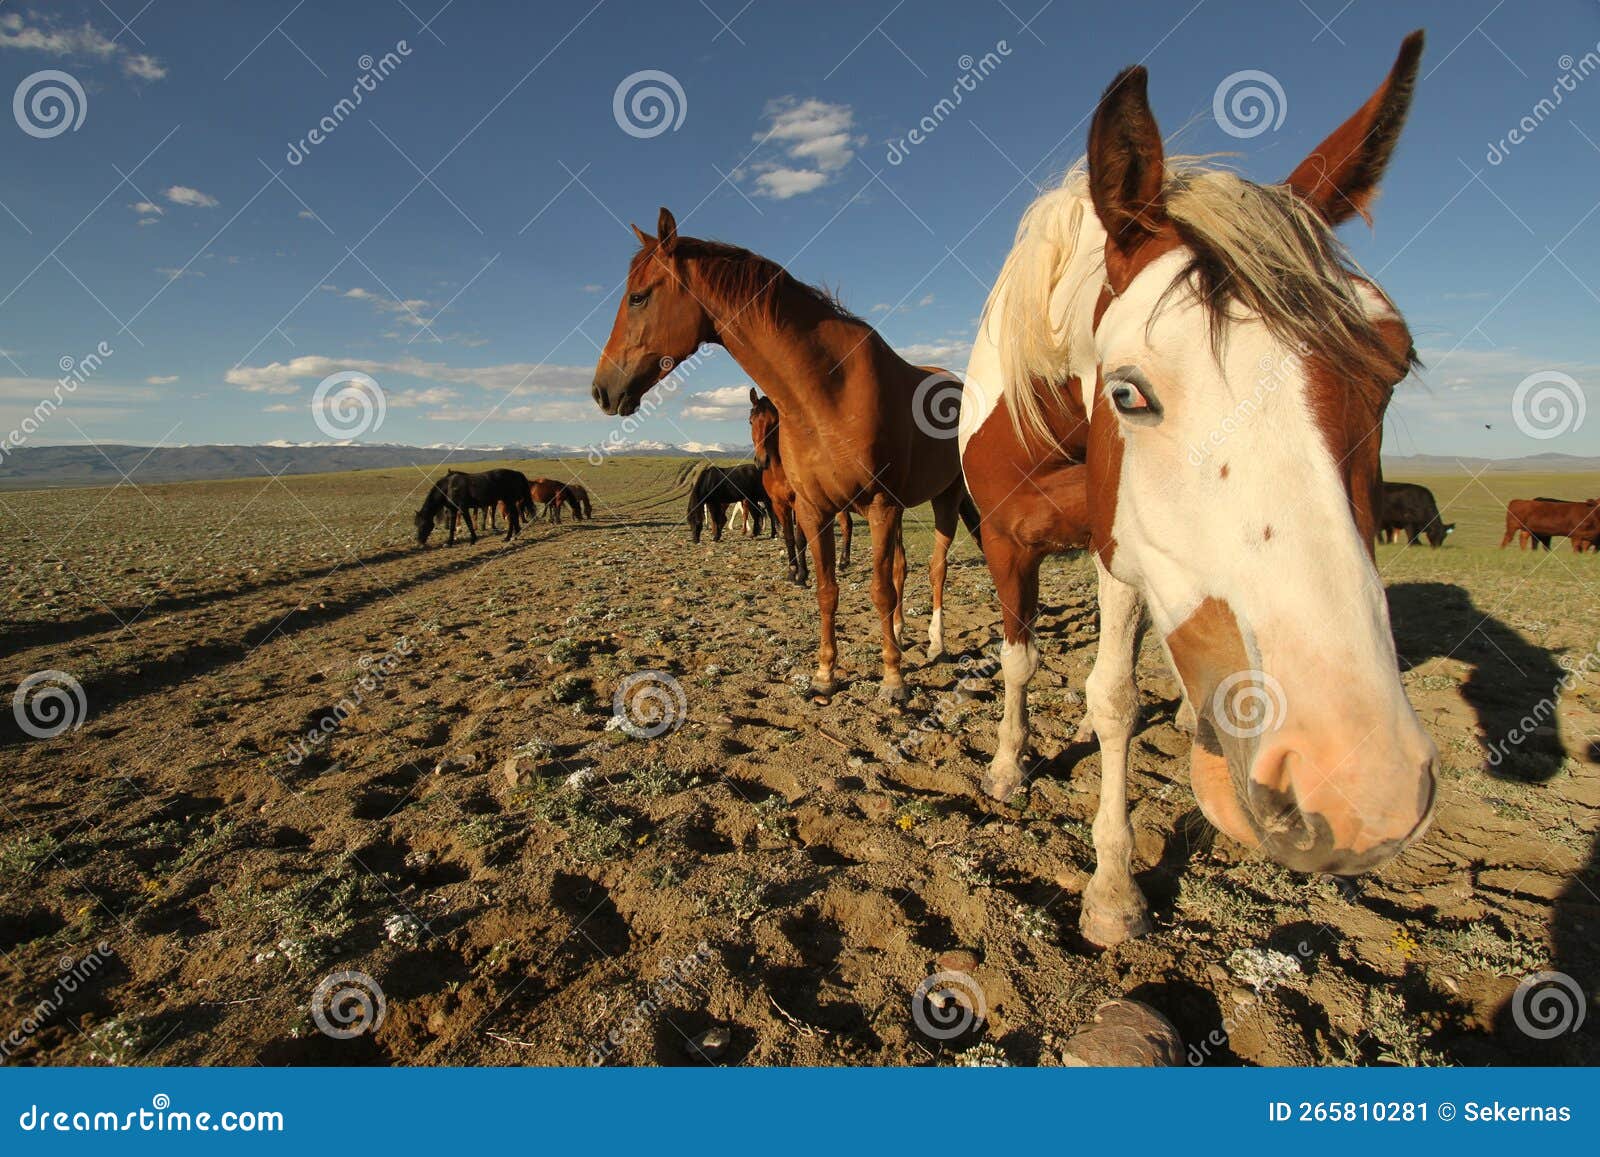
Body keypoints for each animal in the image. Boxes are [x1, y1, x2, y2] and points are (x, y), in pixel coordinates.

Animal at [749, 389, 854, 584]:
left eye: (774, 422)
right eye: (750, 421)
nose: (762, 460)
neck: (779, 471)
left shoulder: (799, 504)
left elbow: (800, 539)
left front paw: (802, 575)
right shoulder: (779, 505)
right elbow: (789, 538)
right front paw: (792, 572)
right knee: (846, 524)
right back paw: (843, 562)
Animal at [959, 30, 1436, 945]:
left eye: (1394, 364)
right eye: (1128, 392)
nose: (1359, 786)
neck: (1045, 419)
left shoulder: (1118, 546)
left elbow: (1115, 691)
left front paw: (1111, 881)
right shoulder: (1008, 542)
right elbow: (1022, 661)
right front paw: (1010, 768)